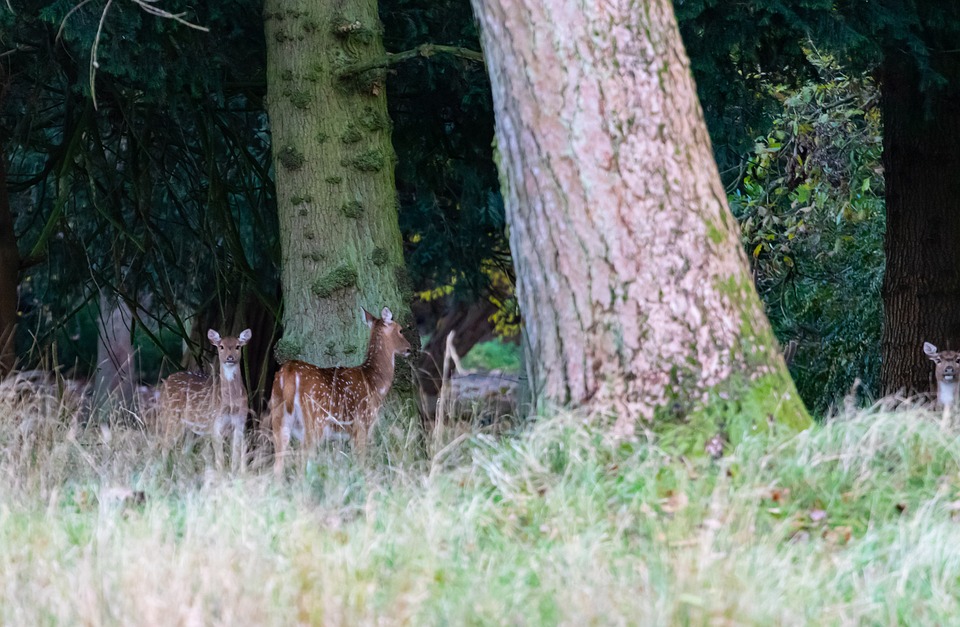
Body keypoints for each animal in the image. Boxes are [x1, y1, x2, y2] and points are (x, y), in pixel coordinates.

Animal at [156, 328, 252, 472]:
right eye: (221, 346)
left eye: (237, 346)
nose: (230, 358)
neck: (230, 404)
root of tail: (165, 382)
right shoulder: (215, 423)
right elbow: (220, 460)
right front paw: (221, 475)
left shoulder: (240, 421)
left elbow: (235, 458)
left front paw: (234, 474)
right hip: (171, 416)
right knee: (165, 445)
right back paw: (163, 472)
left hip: (190, 427)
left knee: (184, 452)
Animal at [269, 306, 411, 476]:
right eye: (401, 330)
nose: (409, 348)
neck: (374, 382)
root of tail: (288, 372)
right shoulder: (362, 422)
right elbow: (361, 462)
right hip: (314, 419)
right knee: (301, 459)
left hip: (278, 415)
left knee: (278, 463)